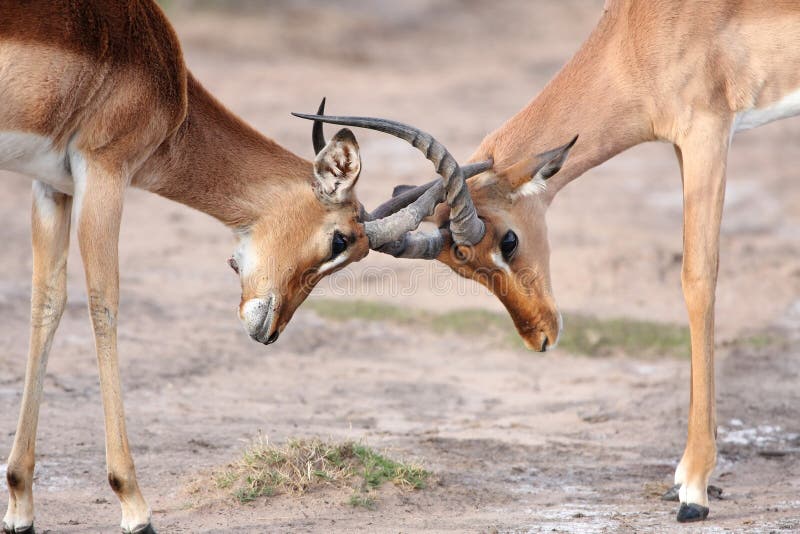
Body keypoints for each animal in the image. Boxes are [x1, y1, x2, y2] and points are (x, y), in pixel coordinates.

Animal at [0, 1, 455, 532]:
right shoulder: (104, 171)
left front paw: (20, 504)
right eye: (341, 240)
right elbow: (103, 306)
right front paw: (135, 505)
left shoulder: (53, 186)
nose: (269, 329)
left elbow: (46, 304)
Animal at [297, 0, 800, 523]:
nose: (540, 336)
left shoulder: (707, 131)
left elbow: (697, 278)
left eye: (509, 239)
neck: (637, 31)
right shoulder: (683, 145)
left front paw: (695, 489)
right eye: (461, 266)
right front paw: (681, 480)